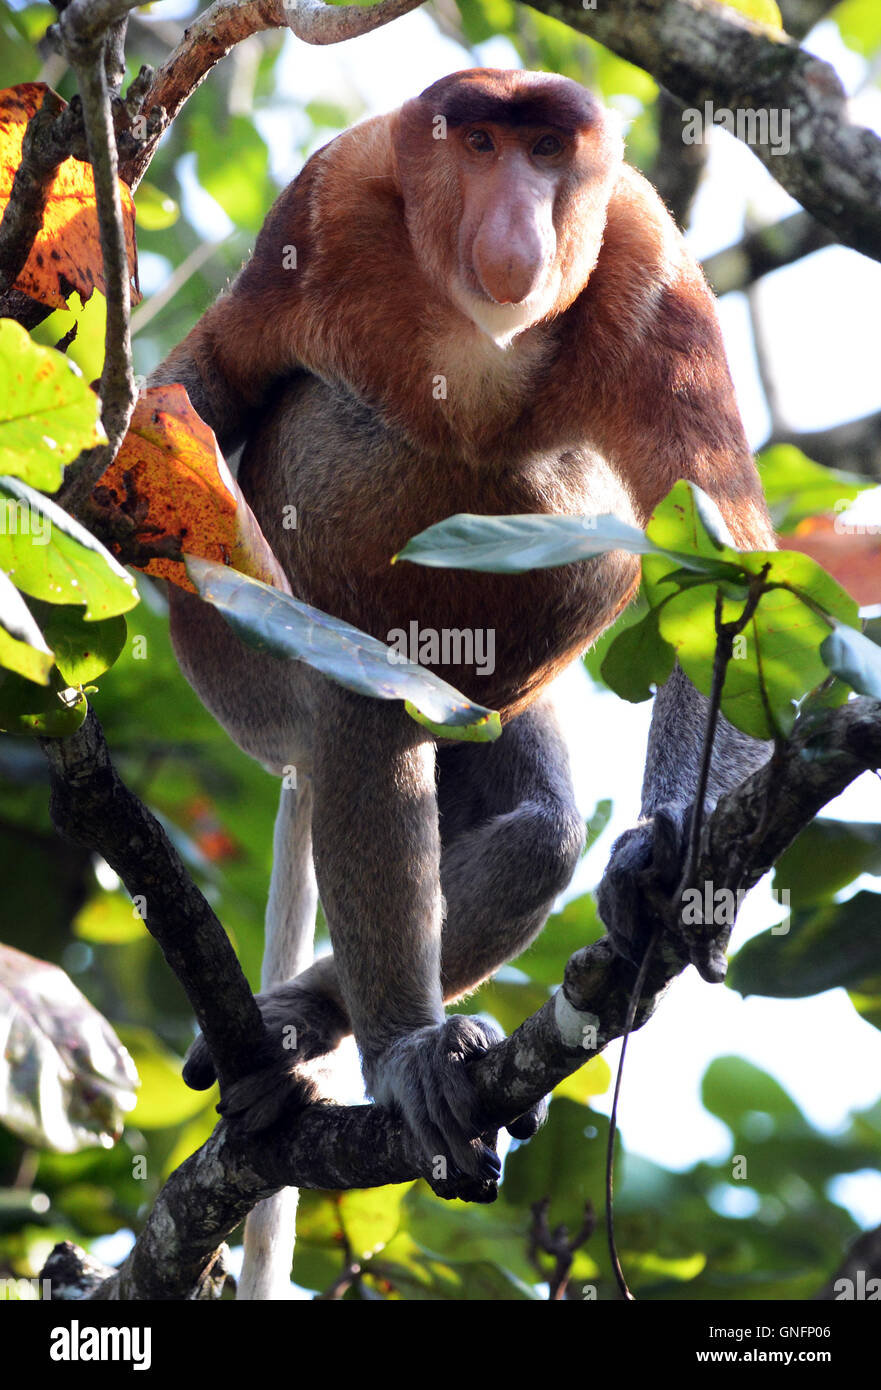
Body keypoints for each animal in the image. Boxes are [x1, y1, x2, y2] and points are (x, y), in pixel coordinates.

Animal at [149, 68, 774, 1298]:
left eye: (544, 154)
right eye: (477, 144)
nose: (514, 230)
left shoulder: (647, 268)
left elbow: (716, 544)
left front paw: (661, 858)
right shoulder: (322, 211)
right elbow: (196, 389)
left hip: (491, 710)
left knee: (535, 829)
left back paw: (305, 1028)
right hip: (245, 678)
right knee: (356, 715)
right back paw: (404, 1051)